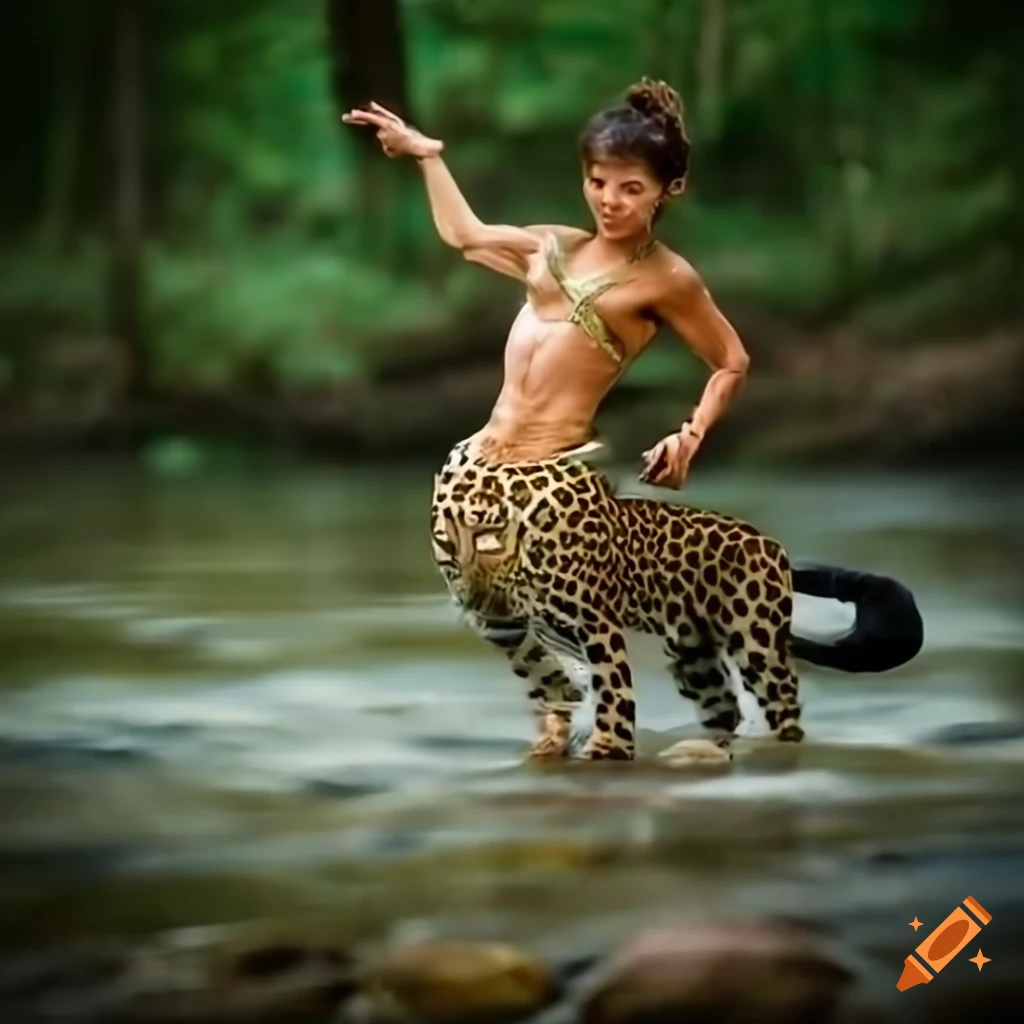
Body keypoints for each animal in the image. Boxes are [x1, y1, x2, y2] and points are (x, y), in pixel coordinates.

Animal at [429, 438, 804, 762]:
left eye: (487, 537)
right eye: (446, 545)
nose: (473, 601)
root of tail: (771, 543)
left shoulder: (594, 621)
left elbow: (611, 684)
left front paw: (608, 747)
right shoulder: (510, 625)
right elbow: (535, 664)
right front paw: (560, 714)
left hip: (757, 647)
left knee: (784, 703)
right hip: (695, 661)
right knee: (724, 706)